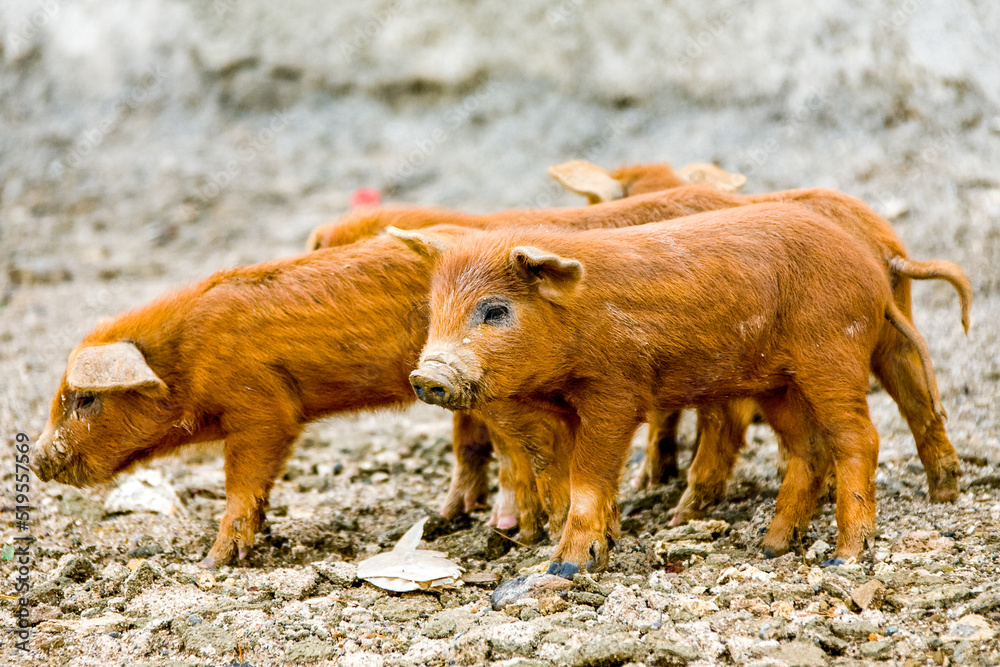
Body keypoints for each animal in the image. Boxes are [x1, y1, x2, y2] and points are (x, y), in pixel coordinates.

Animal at [396, 202, 943, 575]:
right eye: (433, 308)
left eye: (495, 310)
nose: (427, 377)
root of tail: (874, 272)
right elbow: (561, 479)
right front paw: (590, 547)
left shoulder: (616, 392)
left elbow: (589, 475)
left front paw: (566, 568)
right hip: (777, 382)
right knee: (807, 449)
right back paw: (770, 547)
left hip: (833, 355)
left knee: (858, 439)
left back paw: (843, 558)